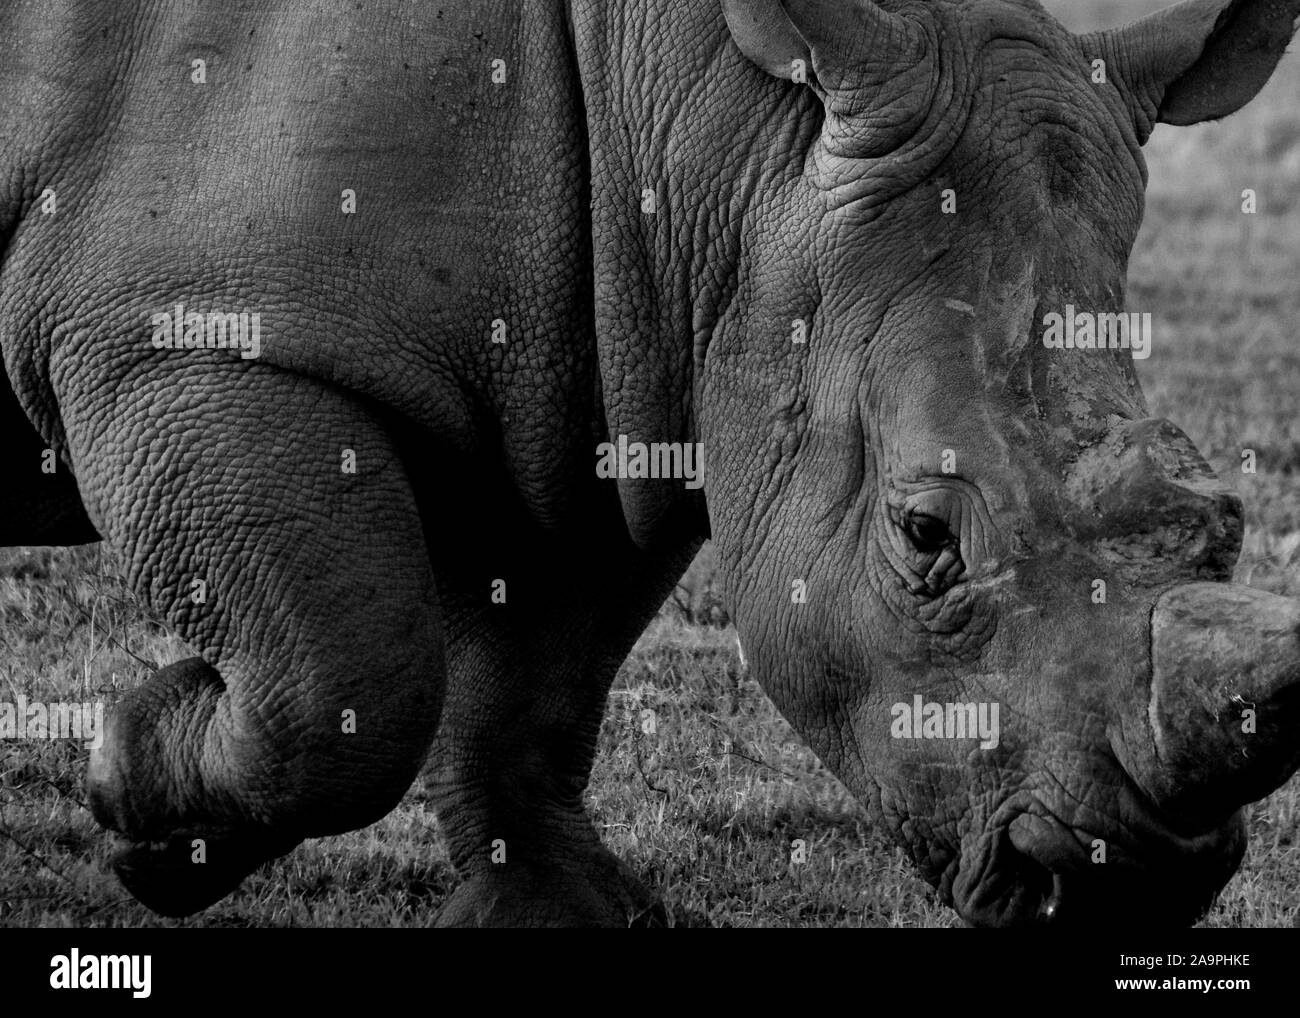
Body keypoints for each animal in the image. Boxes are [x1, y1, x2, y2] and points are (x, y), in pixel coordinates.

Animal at [2, 0, 1298, 928]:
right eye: (924, 535)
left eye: (1222, 521)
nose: (1134, 879)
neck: (729, 140)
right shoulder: (174, 332)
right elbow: (348, 676)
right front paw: (146, 798)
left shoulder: (624, 370)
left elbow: (540, 675)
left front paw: (564, 912)